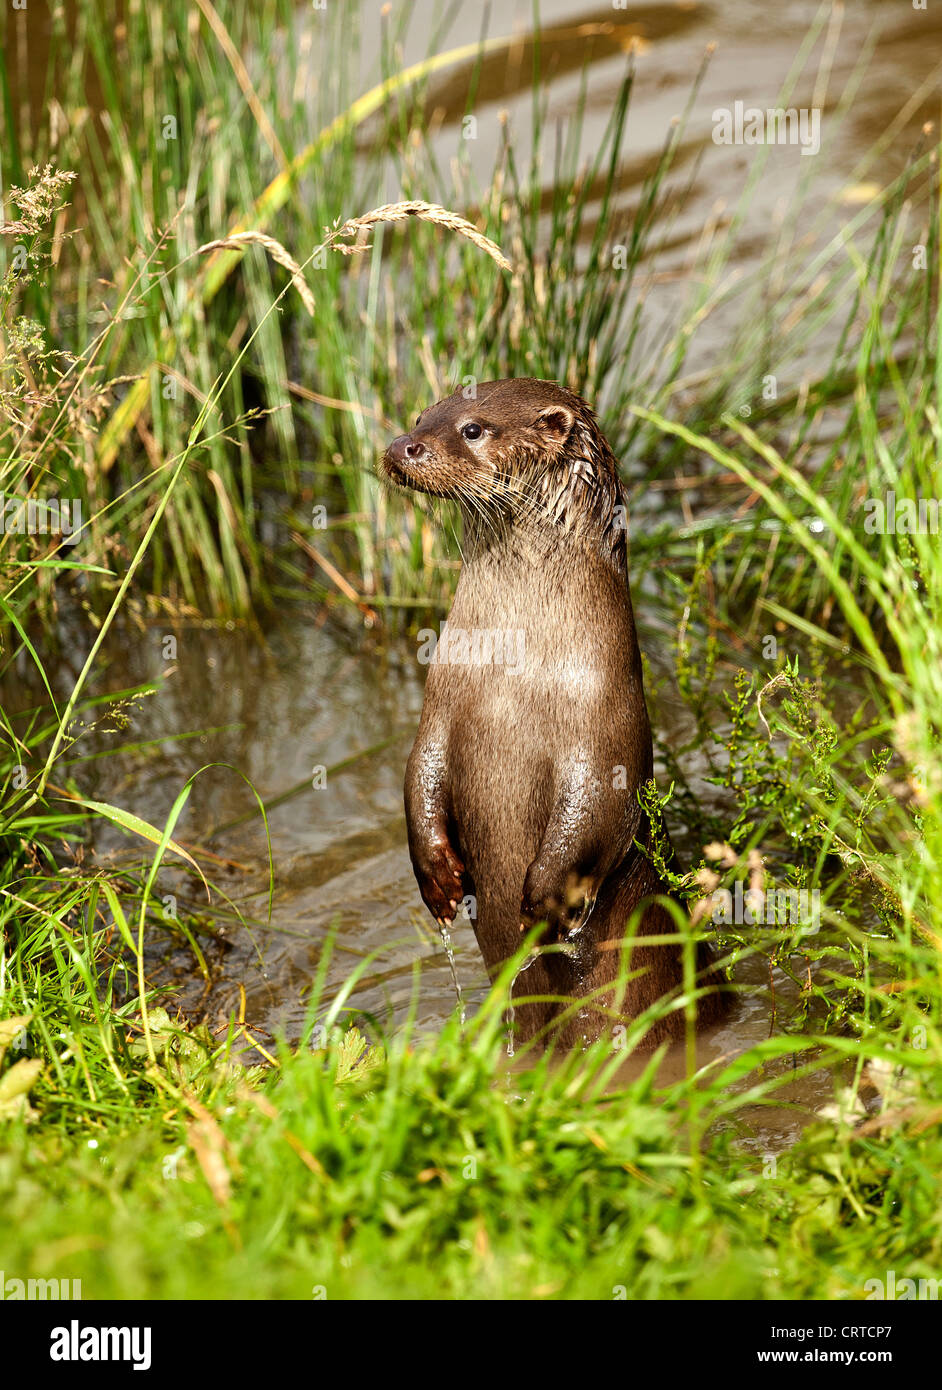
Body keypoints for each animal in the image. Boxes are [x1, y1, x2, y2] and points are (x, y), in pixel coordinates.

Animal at [381, 378, 725, 1048]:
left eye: (472, 429)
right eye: (422, 415)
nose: (401, 445)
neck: (512, 674)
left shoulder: (604, 716)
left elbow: (593, 806)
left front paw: (541, 904)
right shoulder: (441, 703)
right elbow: (419, 771)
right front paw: (437, 875)